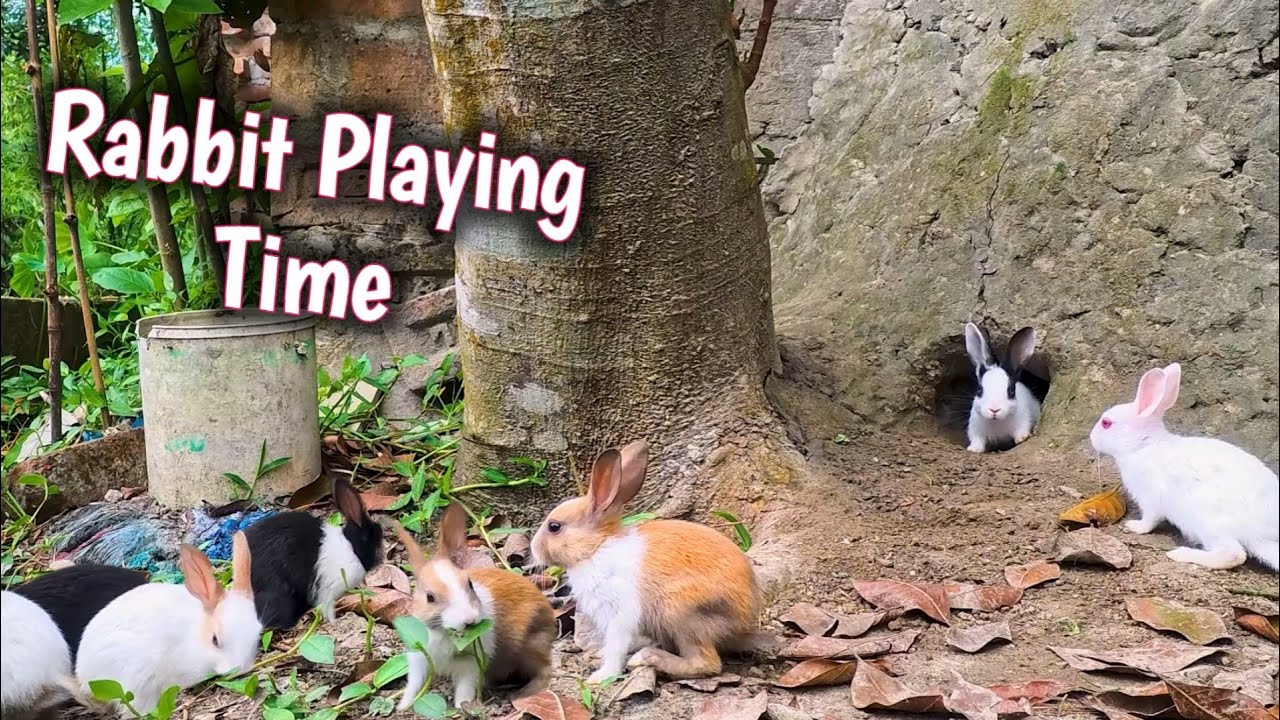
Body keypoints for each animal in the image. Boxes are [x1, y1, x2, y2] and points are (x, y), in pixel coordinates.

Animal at [392, 504, 555, 710]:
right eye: (430, 597)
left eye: (469, 583)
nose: (468, 620)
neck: (443, 633)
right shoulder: (418, 658)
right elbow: (413, 686)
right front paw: (403, 706)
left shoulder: (469, 666)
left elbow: (465, 688)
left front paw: (463, 706)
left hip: (530, 647)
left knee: (545, 669)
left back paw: (523, 694)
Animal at [530, 441, 761, 683]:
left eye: (554, 527)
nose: (533, 548)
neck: (595, 548)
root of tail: (746, 616)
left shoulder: (620, 612)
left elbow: (616, 645)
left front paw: (601, 677)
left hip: (681, 612)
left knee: (706, 663)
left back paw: (647, 658)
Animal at [963, 322, 1046, 453]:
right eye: (979, 390)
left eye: (1011, 391)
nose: (994, 410)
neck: (996, 422)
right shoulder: (975, 429)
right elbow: (977, 440)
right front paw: (973, 449)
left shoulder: (1023, 421)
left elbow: (1021, 431)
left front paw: (1022, 439)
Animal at [1091, 363, 1280, 571]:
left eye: (1106, 423)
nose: (1091, 437)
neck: (1143, 446)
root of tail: (1263, 535)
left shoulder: (1150, 499)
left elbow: (1149, 520)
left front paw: (1133, 526)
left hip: (1209, 523)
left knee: (1234, 554)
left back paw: (1179, 554)